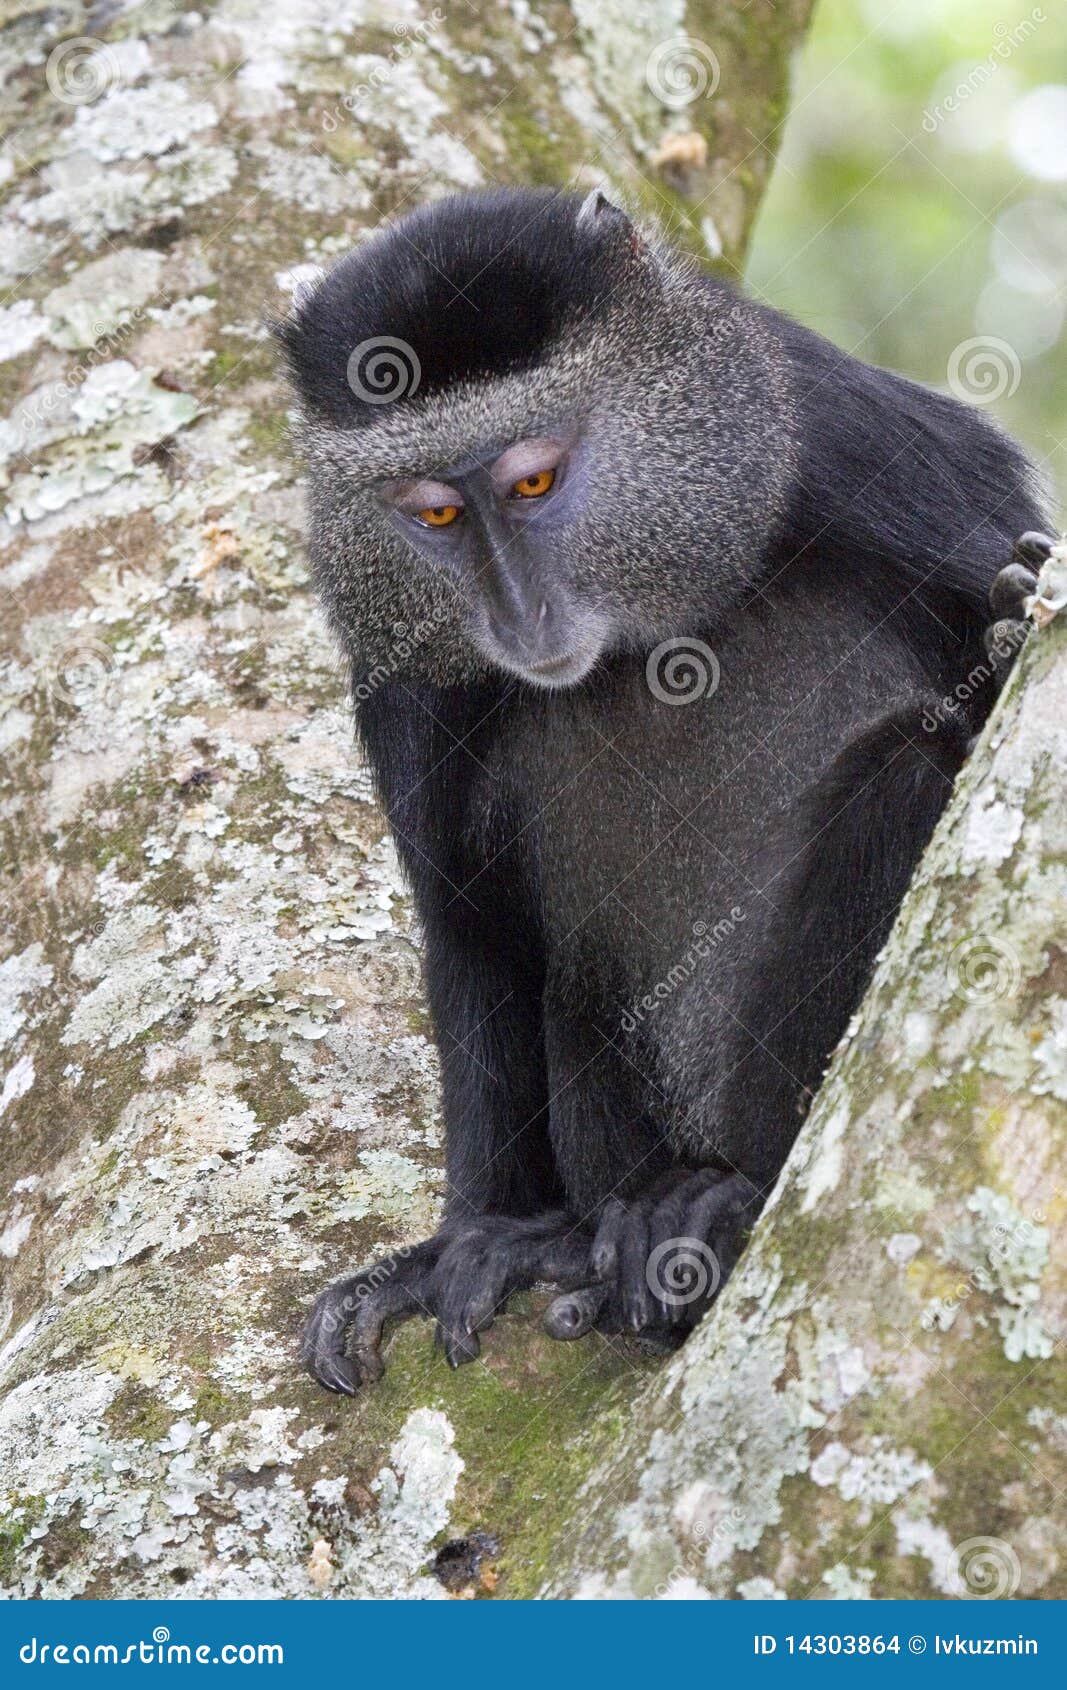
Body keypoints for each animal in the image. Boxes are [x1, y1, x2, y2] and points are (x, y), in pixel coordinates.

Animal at [277, 187, 1052, 1395]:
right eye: (436, 515)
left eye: (534, 481)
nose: (517, 614)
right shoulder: (400, 668)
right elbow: (472, 931)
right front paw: (463, 1239)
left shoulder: (847, 441)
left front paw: (1010, 632)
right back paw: (578, 1239)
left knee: (906, 766)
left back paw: (727, 1195)